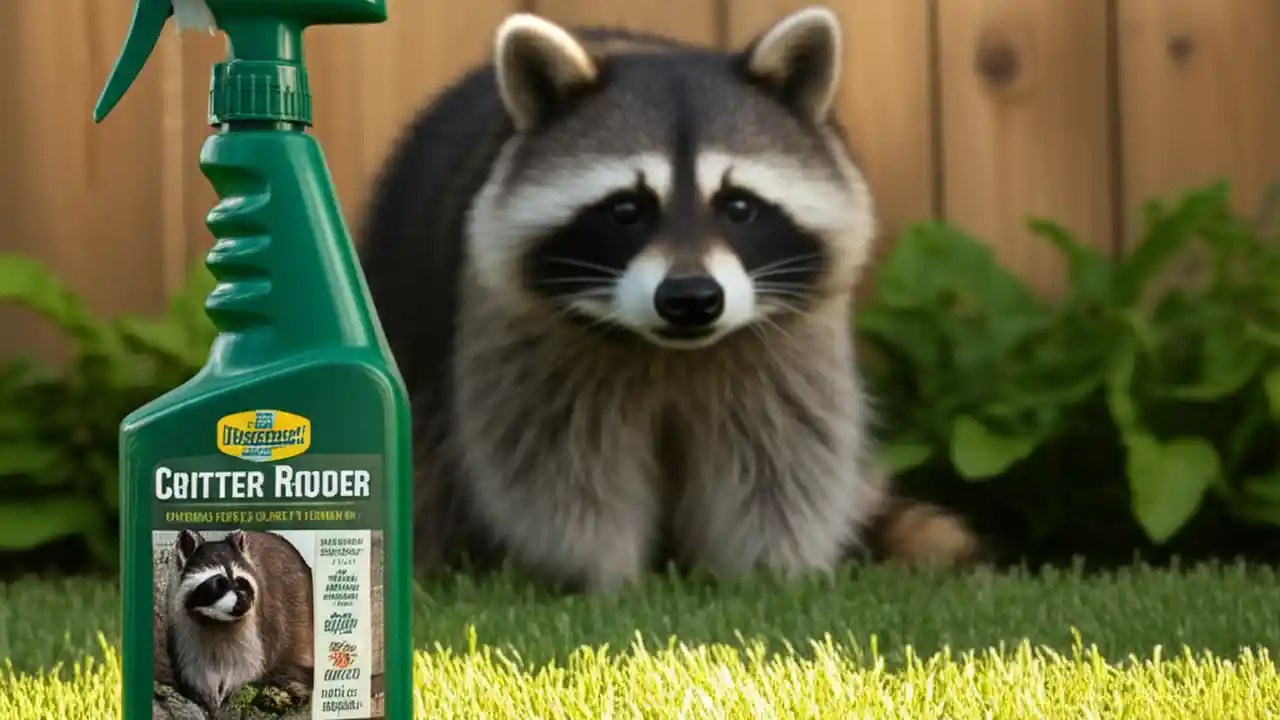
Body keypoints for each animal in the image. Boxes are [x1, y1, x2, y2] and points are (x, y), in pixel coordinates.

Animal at [165, 529, 314, 715]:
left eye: (239, 581)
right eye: (219, 583)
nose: (243, 600)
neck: (217, 622)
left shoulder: (254, 626)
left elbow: (246, 663)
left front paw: (231, 693)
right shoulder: (186, 625)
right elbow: (196, 664)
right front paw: (206, 697)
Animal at [358, 7, 978, 592]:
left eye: (739, 206)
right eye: (626, 210)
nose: (691, 299)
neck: (673, 352)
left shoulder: (792, 342)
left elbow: (782, 455)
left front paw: (767, 573)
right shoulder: (519, 335)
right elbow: (557, 470)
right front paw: (602, 574)